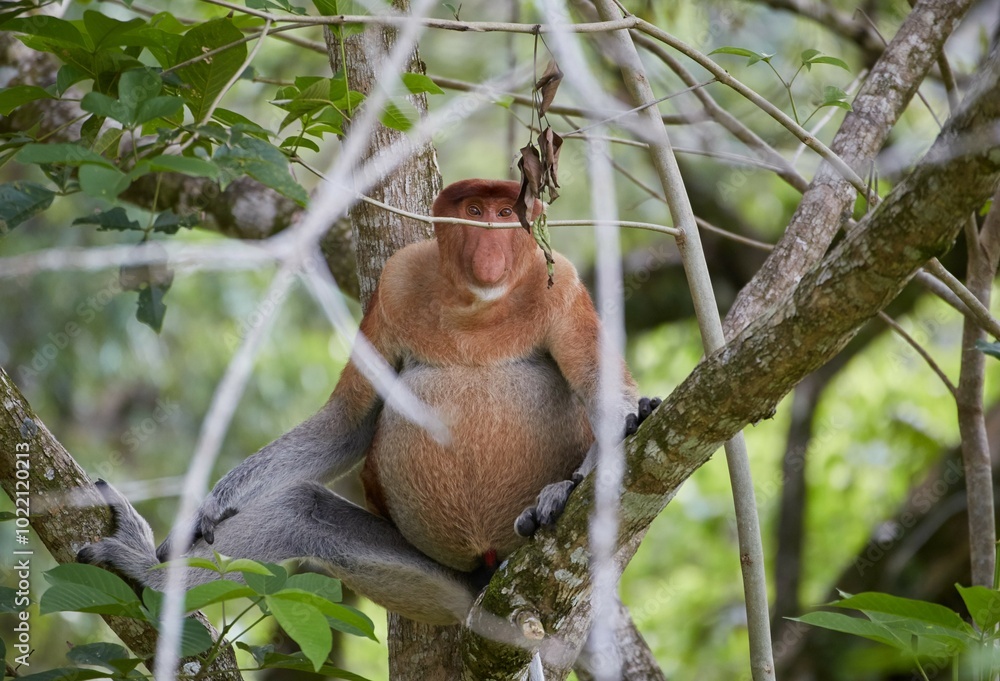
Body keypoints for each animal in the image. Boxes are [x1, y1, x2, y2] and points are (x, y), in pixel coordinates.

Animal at [79, 179, 658, 626]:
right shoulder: (397, 283)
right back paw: (152, 575)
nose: (491, 249)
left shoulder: (562, 287)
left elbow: (605, 396)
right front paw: (211, 505)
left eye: (503, 215)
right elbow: (350, 423)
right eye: (474, 212)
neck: (476, 306)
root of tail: (487, 569)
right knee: (300, 510)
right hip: (441, 583)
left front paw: (570, 482)